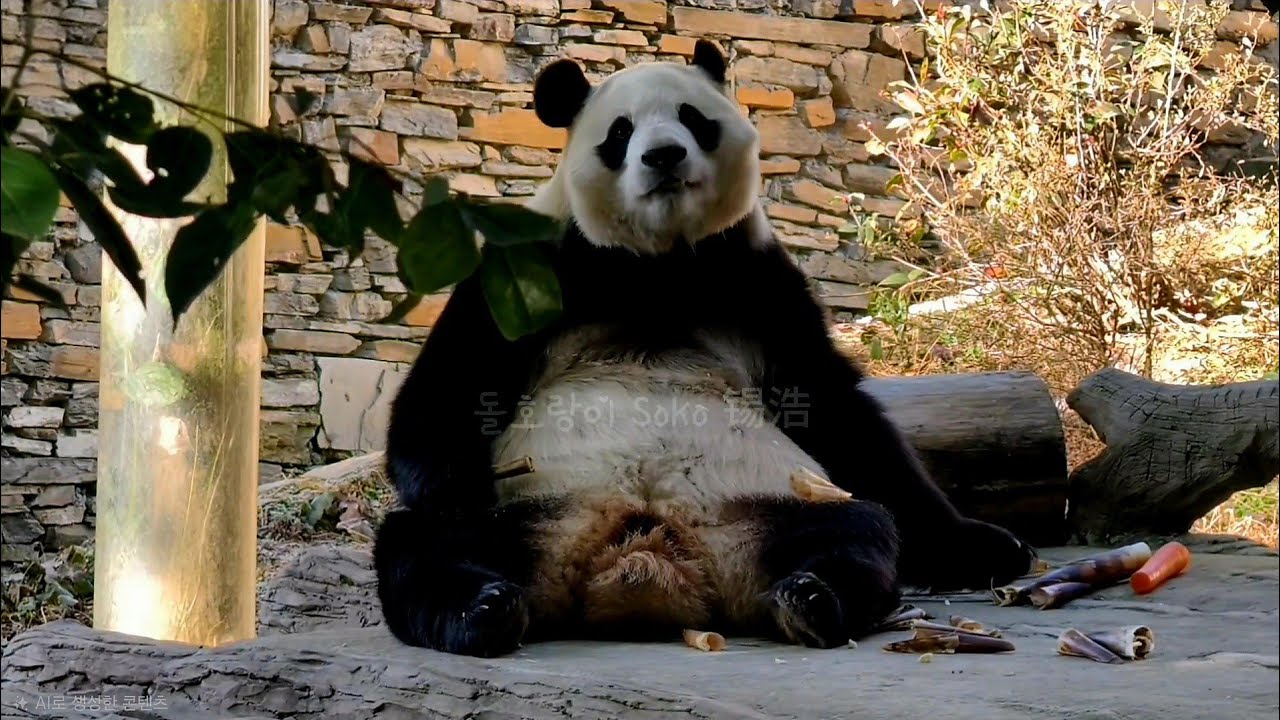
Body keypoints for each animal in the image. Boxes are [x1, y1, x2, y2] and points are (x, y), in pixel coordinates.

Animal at [373, 41, 1038, 658]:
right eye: (620, 132)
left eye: (692, 119)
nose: (664, 155)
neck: (659, 266)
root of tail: (646, 557)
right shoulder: (535, 267)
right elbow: (449, 385)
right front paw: (456, 494)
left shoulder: (756, 282)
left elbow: (837, 410)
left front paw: (983, 544)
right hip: (539, 513)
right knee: (425, 546)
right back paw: (481, 610)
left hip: (761, 507)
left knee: (855, 529)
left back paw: (811, 599)